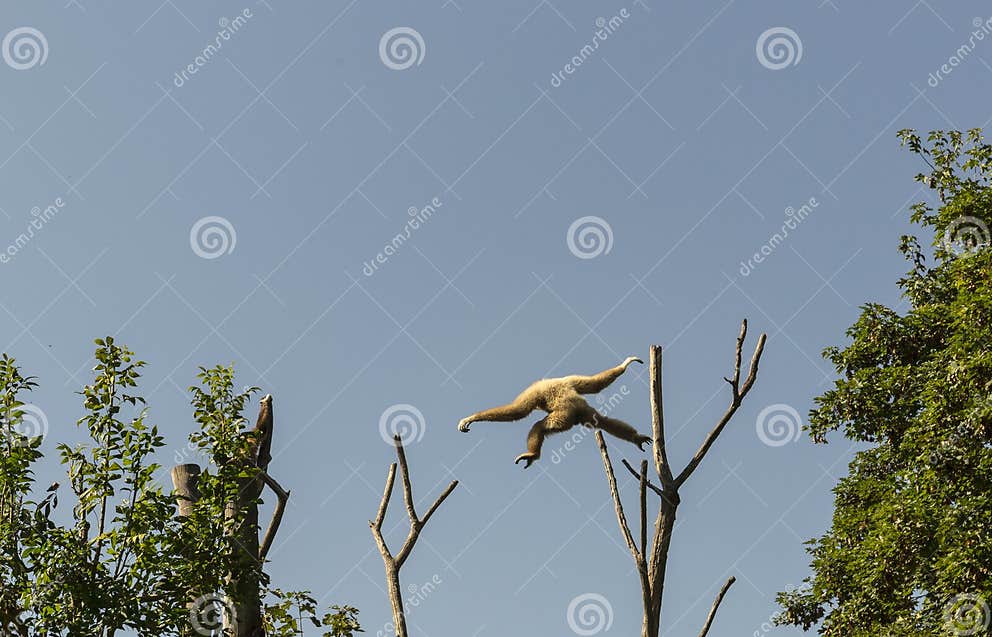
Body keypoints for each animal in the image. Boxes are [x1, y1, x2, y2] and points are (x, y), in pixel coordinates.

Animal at [457, 357, 651, 468]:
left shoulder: (533, 394)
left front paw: (471, 418)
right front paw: (624, 365)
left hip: (562, 417)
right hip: (584, 412)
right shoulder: (570, 379)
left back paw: (533, 454)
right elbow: (595, 384)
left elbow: (517, 411)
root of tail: (576, 410)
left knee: (539, 426)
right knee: (602, 420)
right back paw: (636, 437)